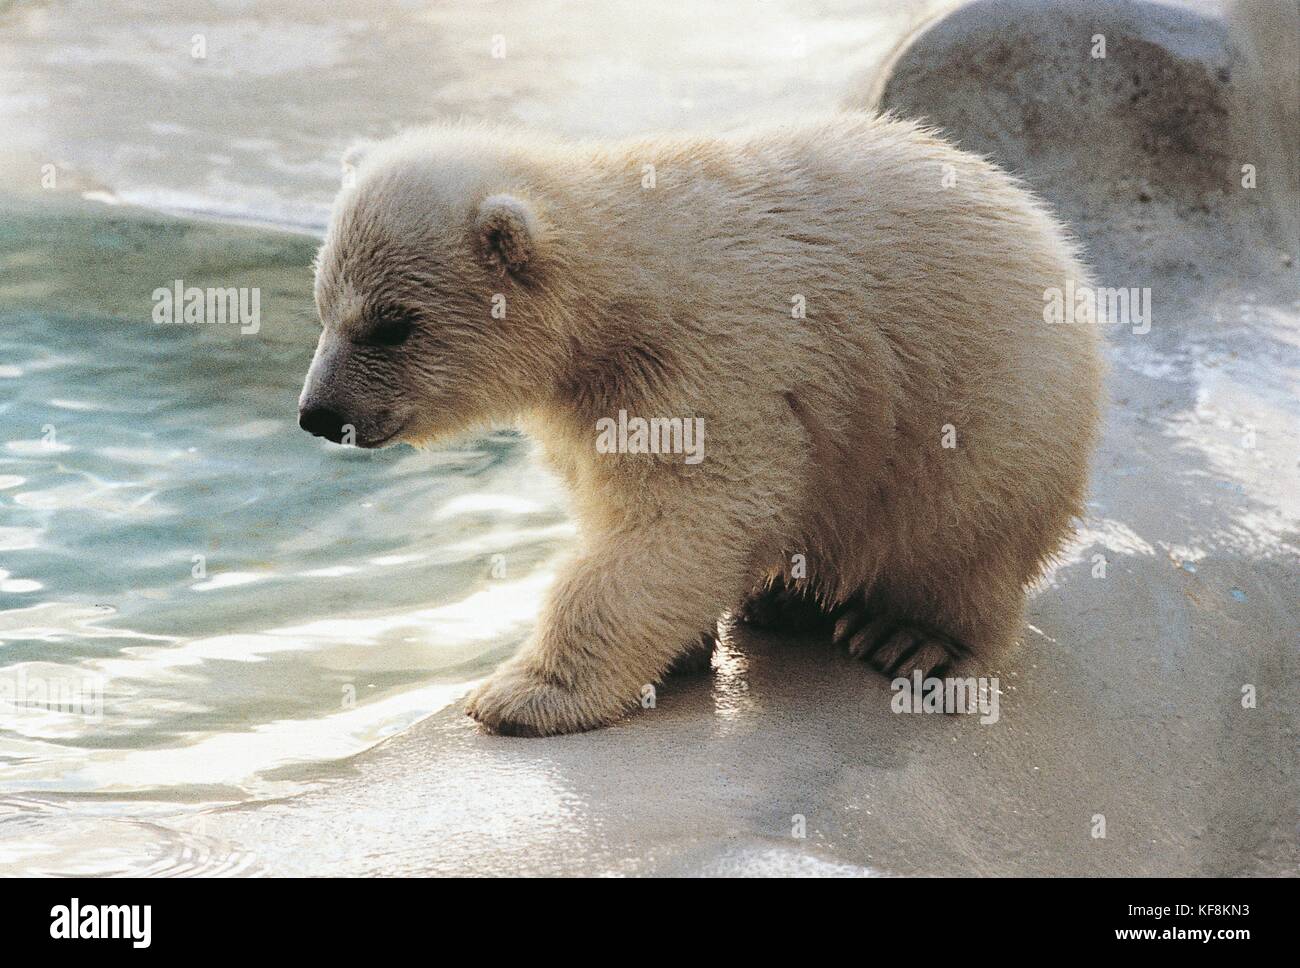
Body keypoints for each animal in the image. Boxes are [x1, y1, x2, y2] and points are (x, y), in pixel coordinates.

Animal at [298, 113, 1104, 737]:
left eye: (392, 326)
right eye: (325, 309)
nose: (318, 415)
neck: (621, 283)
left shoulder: (708, 361)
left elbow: (684, 518)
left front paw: (522, 695)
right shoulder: (593, 397)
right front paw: (680, 650)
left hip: (991, 406)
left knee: (964, 525)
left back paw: (911, 635)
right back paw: (779, 597)